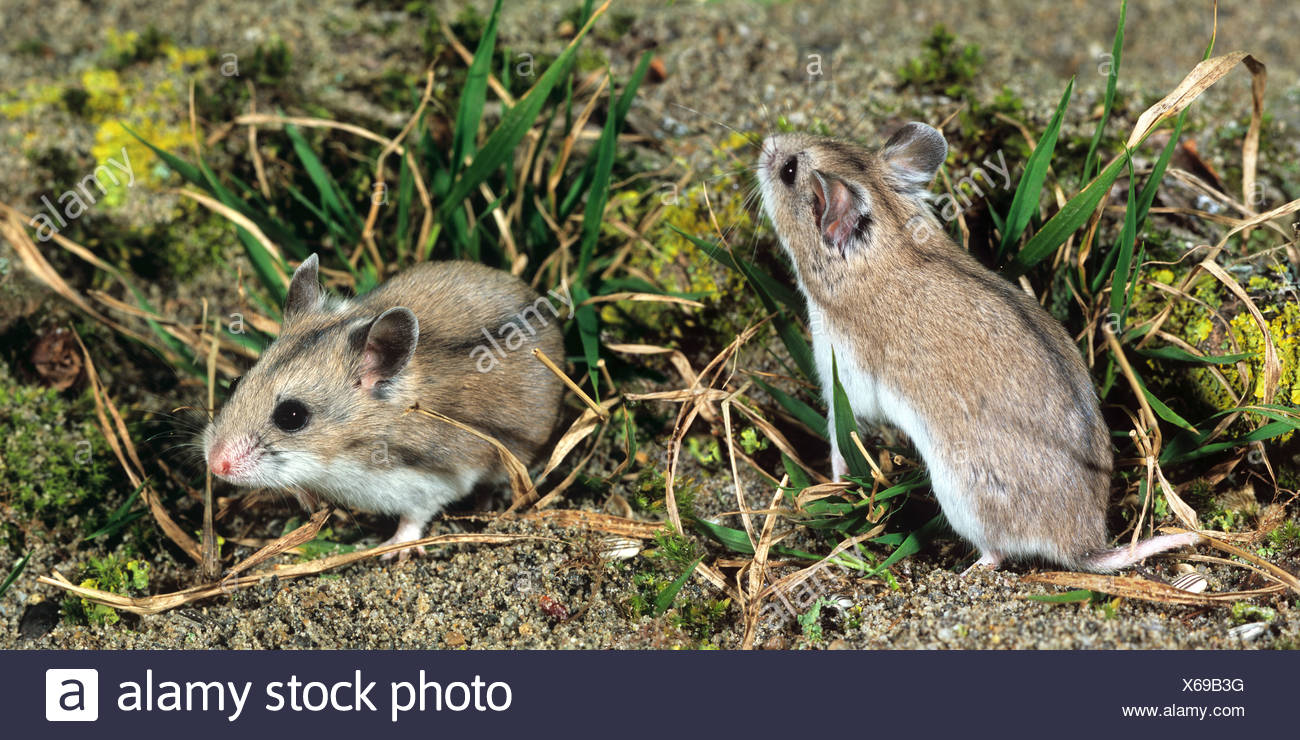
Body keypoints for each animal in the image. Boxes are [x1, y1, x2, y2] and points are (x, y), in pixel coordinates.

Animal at [203, 254, 566, 555]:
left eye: (291, 416)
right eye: (235, 383)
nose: (215, 465)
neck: (342, 459)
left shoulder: (438, 479)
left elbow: (414, 518)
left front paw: (390, 550)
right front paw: (307, 499)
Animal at [757, 122, 1200, 572]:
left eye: (788, 171)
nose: (766, 143)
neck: (882, 244)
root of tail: (1084, 545)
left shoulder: (846, 382)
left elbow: (840, 436)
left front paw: (830, 483)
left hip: (961, 498)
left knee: (997, 554)